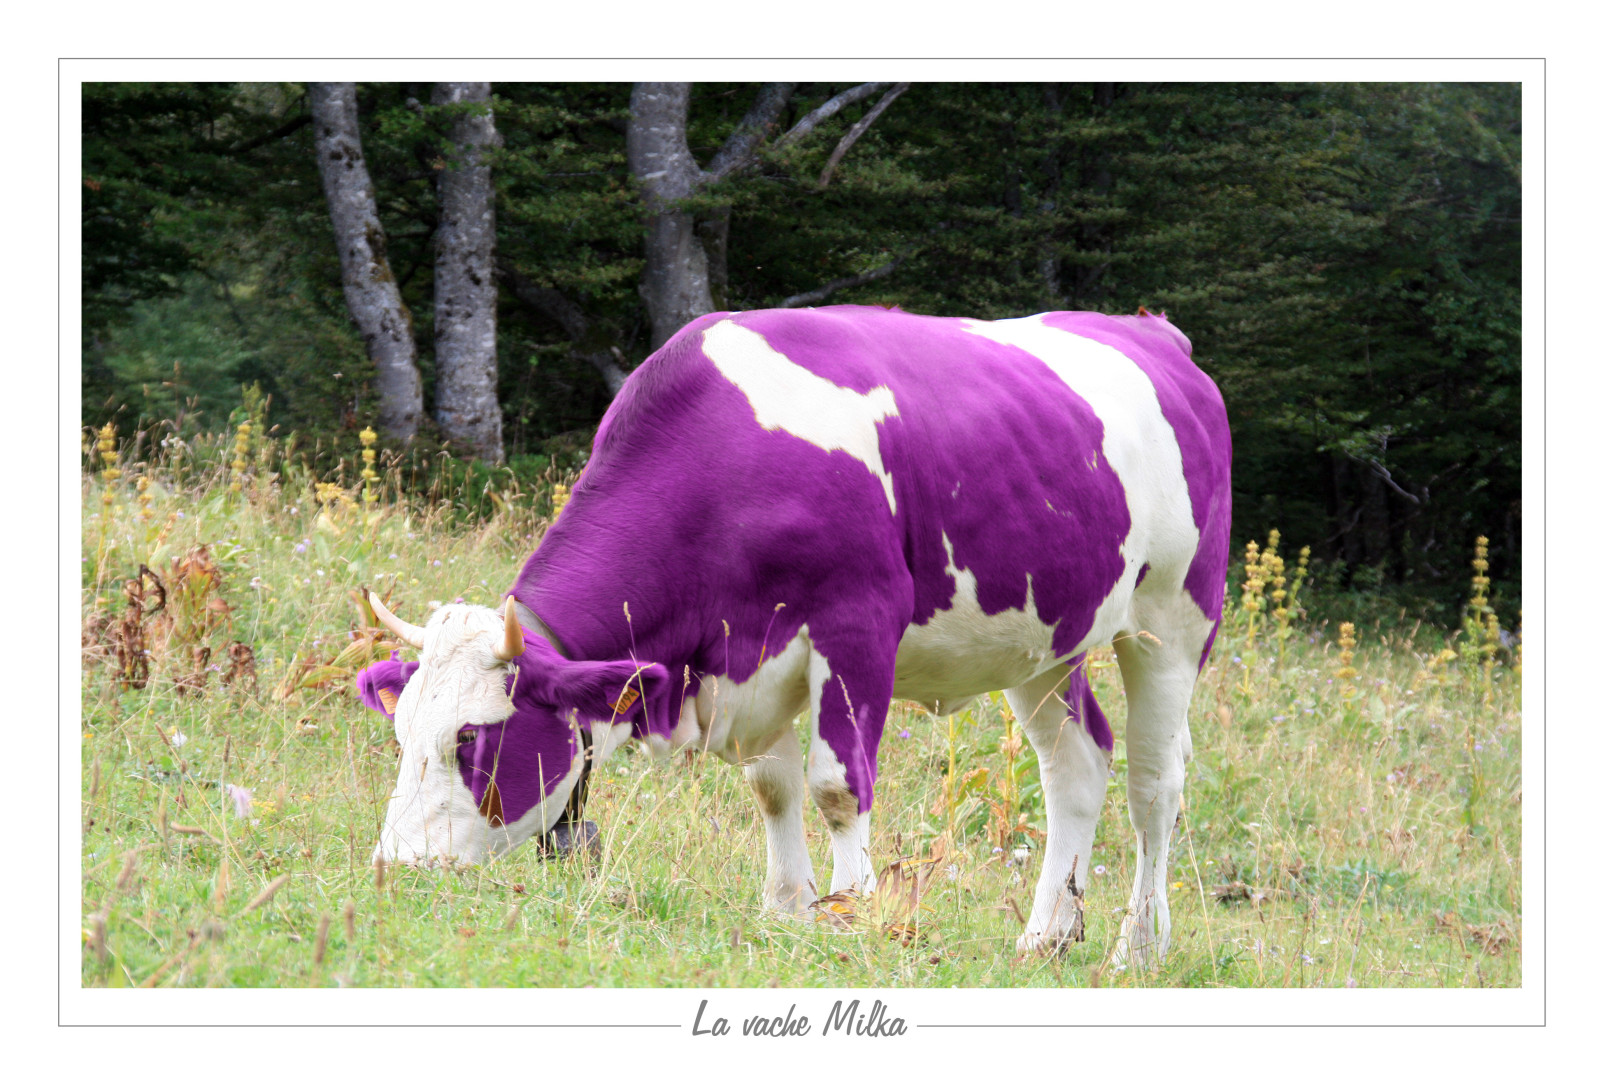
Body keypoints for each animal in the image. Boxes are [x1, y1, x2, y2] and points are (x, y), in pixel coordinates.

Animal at [356, 304, 1230, 962]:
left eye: (474, 739)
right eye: (400, 733)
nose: (397, 867)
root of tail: (1154, 334)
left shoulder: (858, 626)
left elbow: (837, 786)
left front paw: (853, 912)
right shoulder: (751, 653)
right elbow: (770, 787)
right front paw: (787, 908)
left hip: (1174, 620)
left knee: (1155, 784)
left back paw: (1139, 946)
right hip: (1045, 638)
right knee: (1078, 763)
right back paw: (1046, 935)